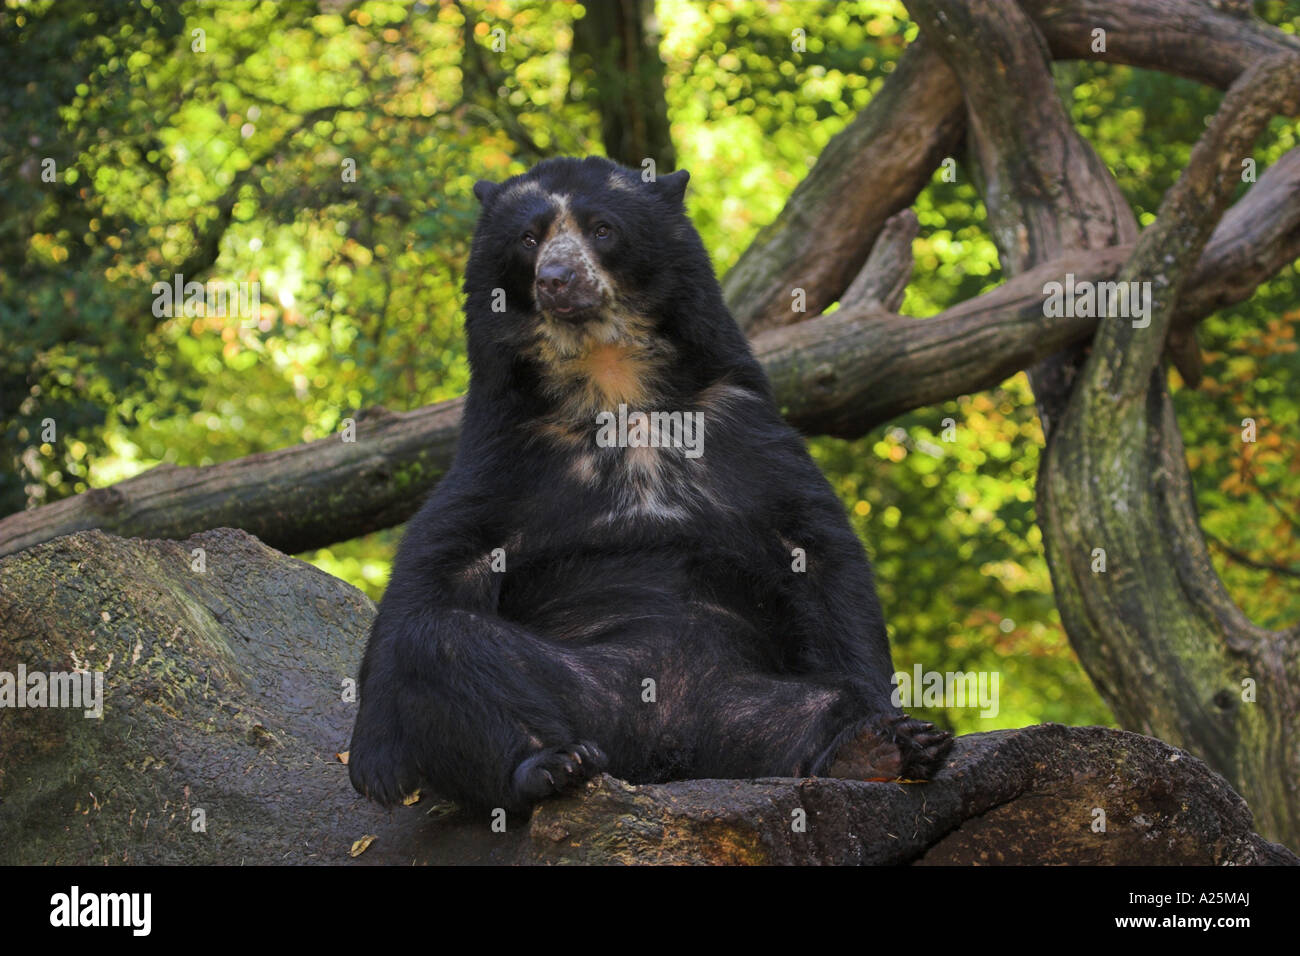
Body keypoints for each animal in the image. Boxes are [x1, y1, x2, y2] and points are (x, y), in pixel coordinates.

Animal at [347, 155, 952, 813]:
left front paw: (892, 721)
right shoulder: (508, 448)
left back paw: (875, 749)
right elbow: (441, 562)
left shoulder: (739, 426)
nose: (556, 279)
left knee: (826, 702)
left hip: (749, 707)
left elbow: (816, 550)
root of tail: (665, 749)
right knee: (443, 645)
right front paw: (377, 768)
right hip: (586, 690)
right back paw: (550, 765)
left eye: (602, 229)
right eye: (528, 239)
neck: (613, 384)